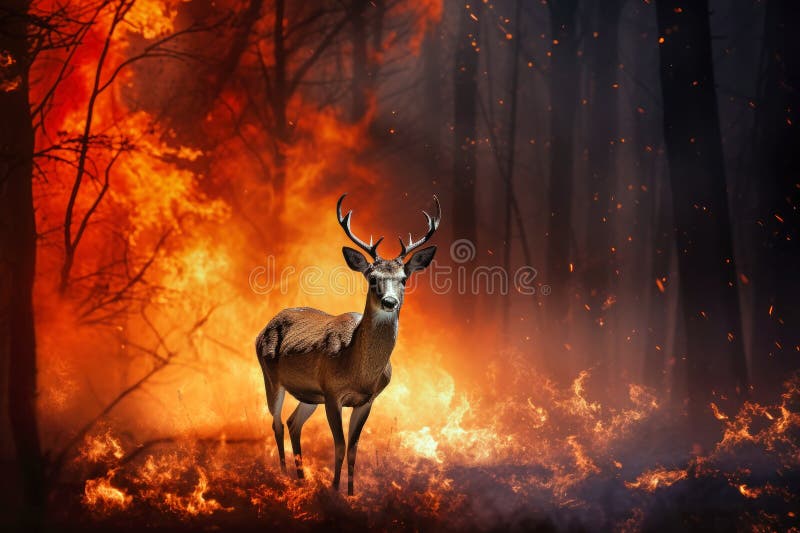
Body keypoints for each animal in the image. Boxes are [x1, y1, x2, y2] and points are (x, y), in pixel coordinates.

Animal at [255, 194, 440, 495]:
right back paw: (283, 475)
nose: (390, 302)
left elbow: (354, 448)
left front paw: (352, 493)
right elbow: (340, 445)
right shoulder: (332, 393)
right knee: (277, 423)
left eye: (403, 278)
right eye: (372, 277)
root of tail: (264, 327)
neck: (357, 370)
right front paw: (334, 490)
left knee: (293, 423)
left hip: (309, 394)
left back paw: (301, 478)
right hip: (270, 376)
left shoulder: (367, 400)